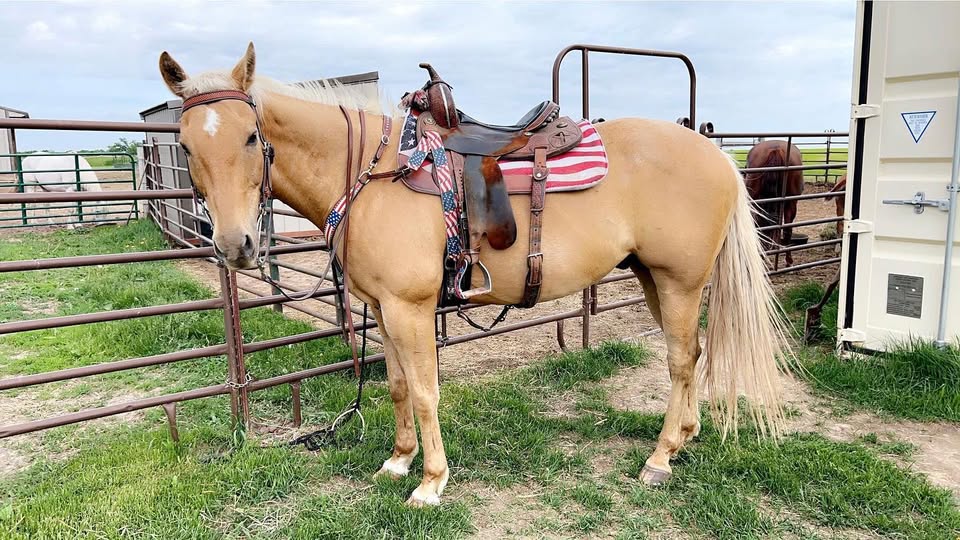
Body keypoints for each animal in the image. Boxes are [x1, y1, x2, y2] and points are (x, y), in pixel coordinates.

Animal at [158, 42, 794, 506]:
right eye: (185, 145)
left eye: (250, 136)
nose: (235, 246)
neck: (373, 173)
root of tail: (717, 156)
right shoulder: (384, 310)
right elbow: (396, 386)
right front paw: (398, 461)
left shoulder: (410, 309)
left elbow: (424, 392)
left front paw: (430, 483)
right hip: (652, 278)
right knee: (693, 356)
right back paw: (684, 437)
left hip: (679, 282)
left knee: (681, 360)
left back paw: (660, 458)